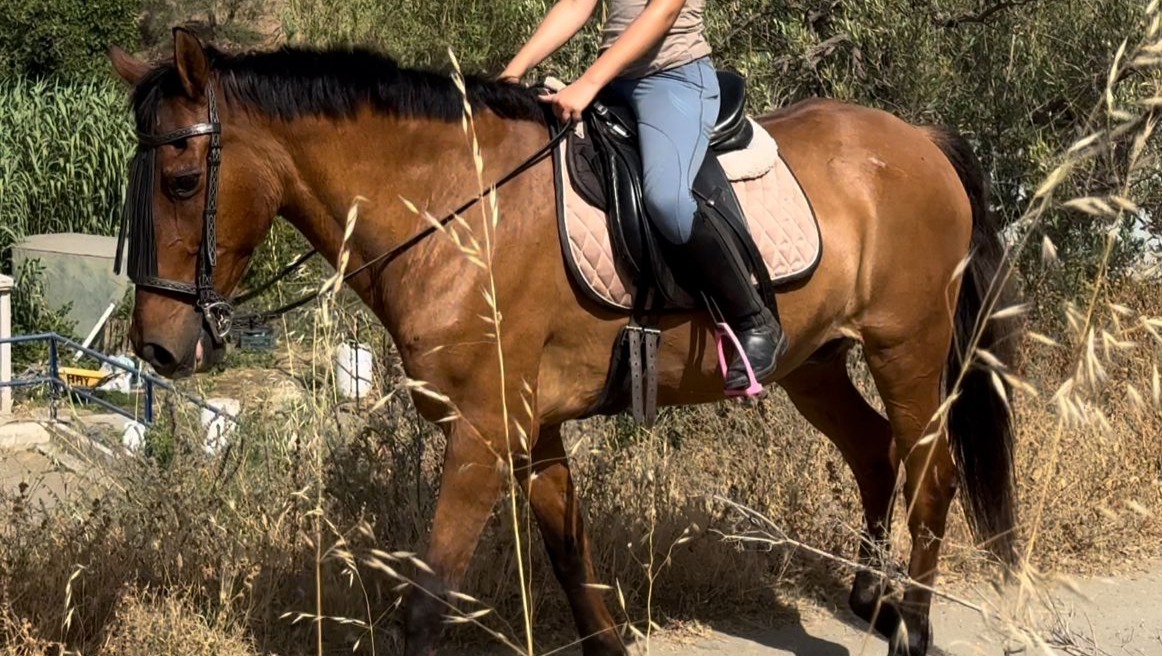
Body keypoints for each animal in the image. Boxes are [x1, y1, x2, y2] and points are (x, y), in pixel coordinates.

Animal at [106, 28, 1019, 656]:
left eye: (182, 183)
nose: (156, 348)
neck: (460, 207)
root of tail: (919, 139)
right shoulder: (533, 429)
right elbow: (572, 562)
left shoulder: (481, 433)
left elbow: (427, 602)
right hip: (816, 364)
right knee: (873, 453)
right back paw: (871, 600)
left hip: (907, 349)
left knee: (931, 475)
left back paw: (911, 627)